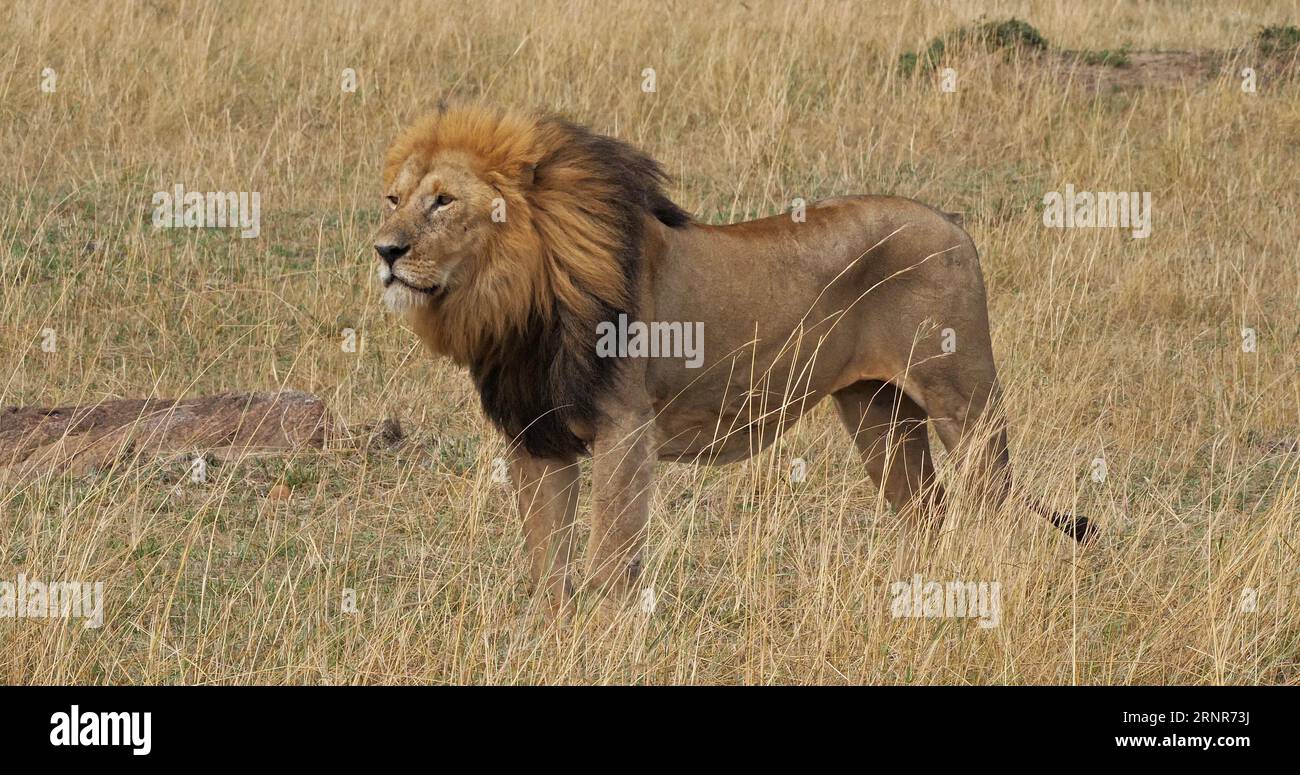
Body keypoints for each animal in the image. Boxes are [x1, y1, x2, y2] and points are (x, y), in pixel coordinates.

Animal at [375, 104, 1095, 609]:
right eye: (394, 199)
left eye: (444, 200)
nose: (384, 250)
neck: (516, 298)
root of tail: (950, 220)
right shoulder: (536, 436)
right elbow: (547, 560)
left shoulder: (625, 428)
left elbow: (609, 557)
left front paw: (606, 637)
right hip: (877, 415)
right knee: (929, 514)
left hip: (963, 402)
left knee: (988, 511)